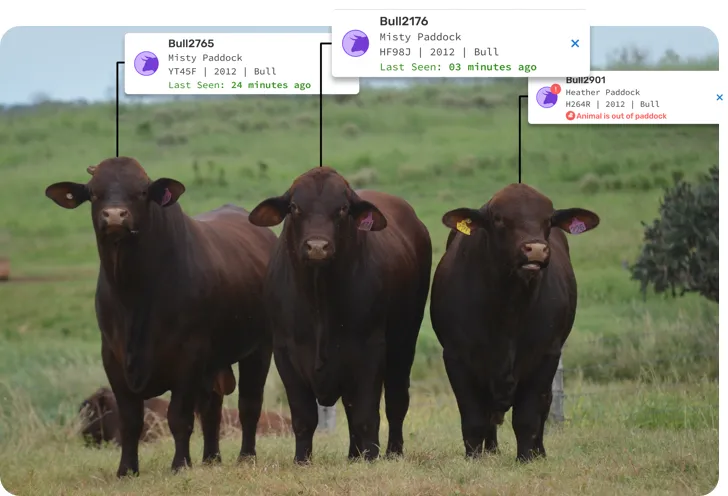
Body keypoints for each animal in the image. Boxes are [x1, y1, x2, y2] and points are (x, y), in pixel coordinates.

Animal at [248, 166, 432, 463]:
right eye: (294, 207)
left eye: (343, 208)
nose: (317, 247)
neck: (319, 301)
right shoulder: (285, 354)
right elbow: (304, 418)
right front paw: (302, 460)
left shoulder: (370, 351)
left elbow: (366, 416)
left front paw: (371, 457)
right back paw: (353, 455)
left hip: (404, 343)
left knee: (395, 401)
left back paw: (392, 451)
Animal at [430, 183, 600, 462]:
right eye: (499, 218)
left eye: (548, 219)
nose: (536, 249)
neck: (509, 309)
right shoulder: (456, 357)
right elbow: (473, 417)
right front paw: (474, 458)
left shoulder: (546, 356)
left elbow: (528, 416)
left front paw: (527, 457)